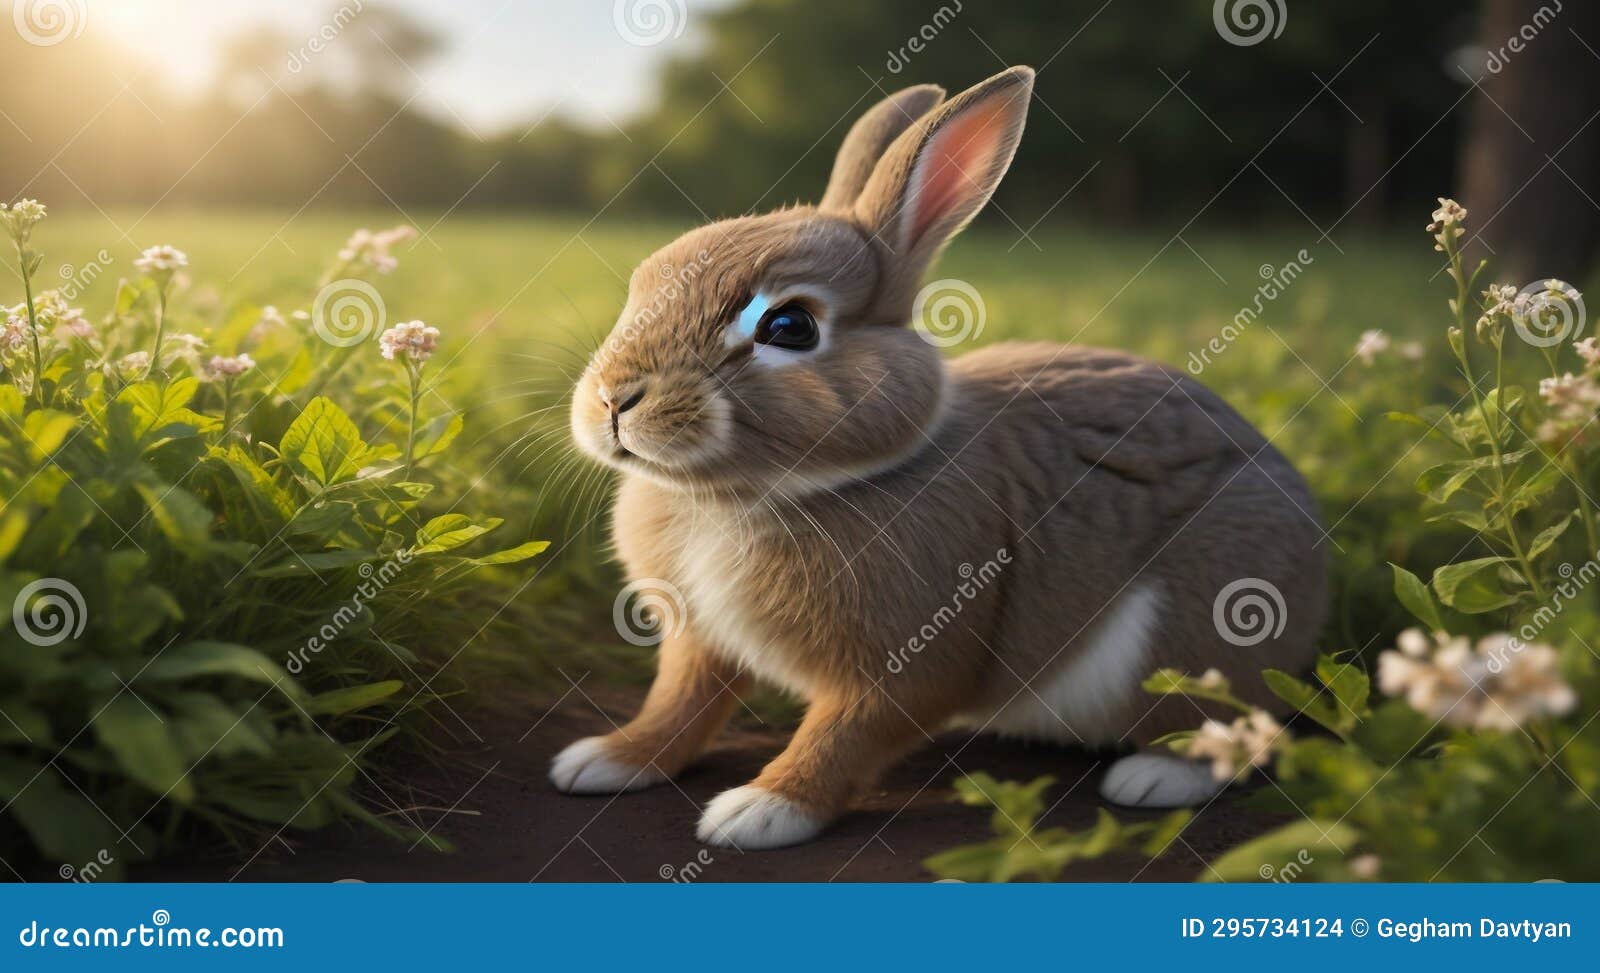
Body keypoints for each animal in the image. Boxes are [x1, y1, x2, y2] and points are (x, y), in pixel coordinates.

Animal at [553, 65, 1328, 850]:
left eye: (790, 325)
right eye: (644, 283)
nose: (613, 400)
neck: (749, 494)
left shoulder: (906, 662)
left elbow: (843, 735)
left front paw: (760, 811)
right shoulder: (699, 643)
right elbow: (681, 703)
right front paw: (604, 761)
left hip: (1206, 627)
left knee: (1231, 724)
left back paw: (1154, 778)